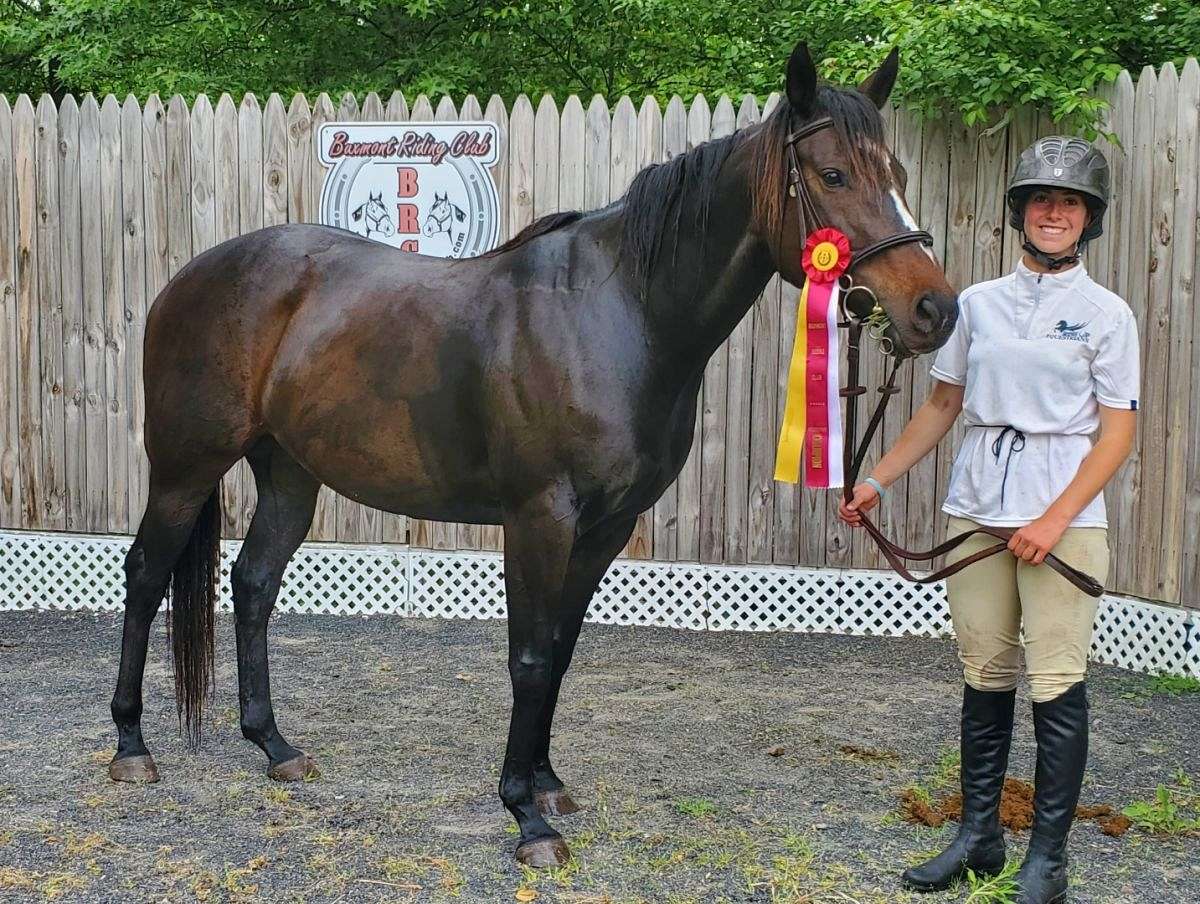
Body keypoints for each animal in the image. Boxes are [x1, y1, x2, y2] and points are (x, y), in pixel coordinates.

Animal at [107, 42, 958, 867]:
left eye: (897, 175)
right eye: (834, 174)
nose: (935, 310)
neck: (617, 316)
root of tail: (190, 278)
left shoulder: (605, 527)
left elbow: (561, 649)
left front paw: (546, 784)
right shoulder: (539, 518)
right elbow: (528, 657)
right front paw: (526, 818)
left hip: (290, 473)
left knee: (253, 583)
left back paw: (275, 747)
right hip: (186, 468)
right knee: (146, 575)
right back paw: (130, 746)